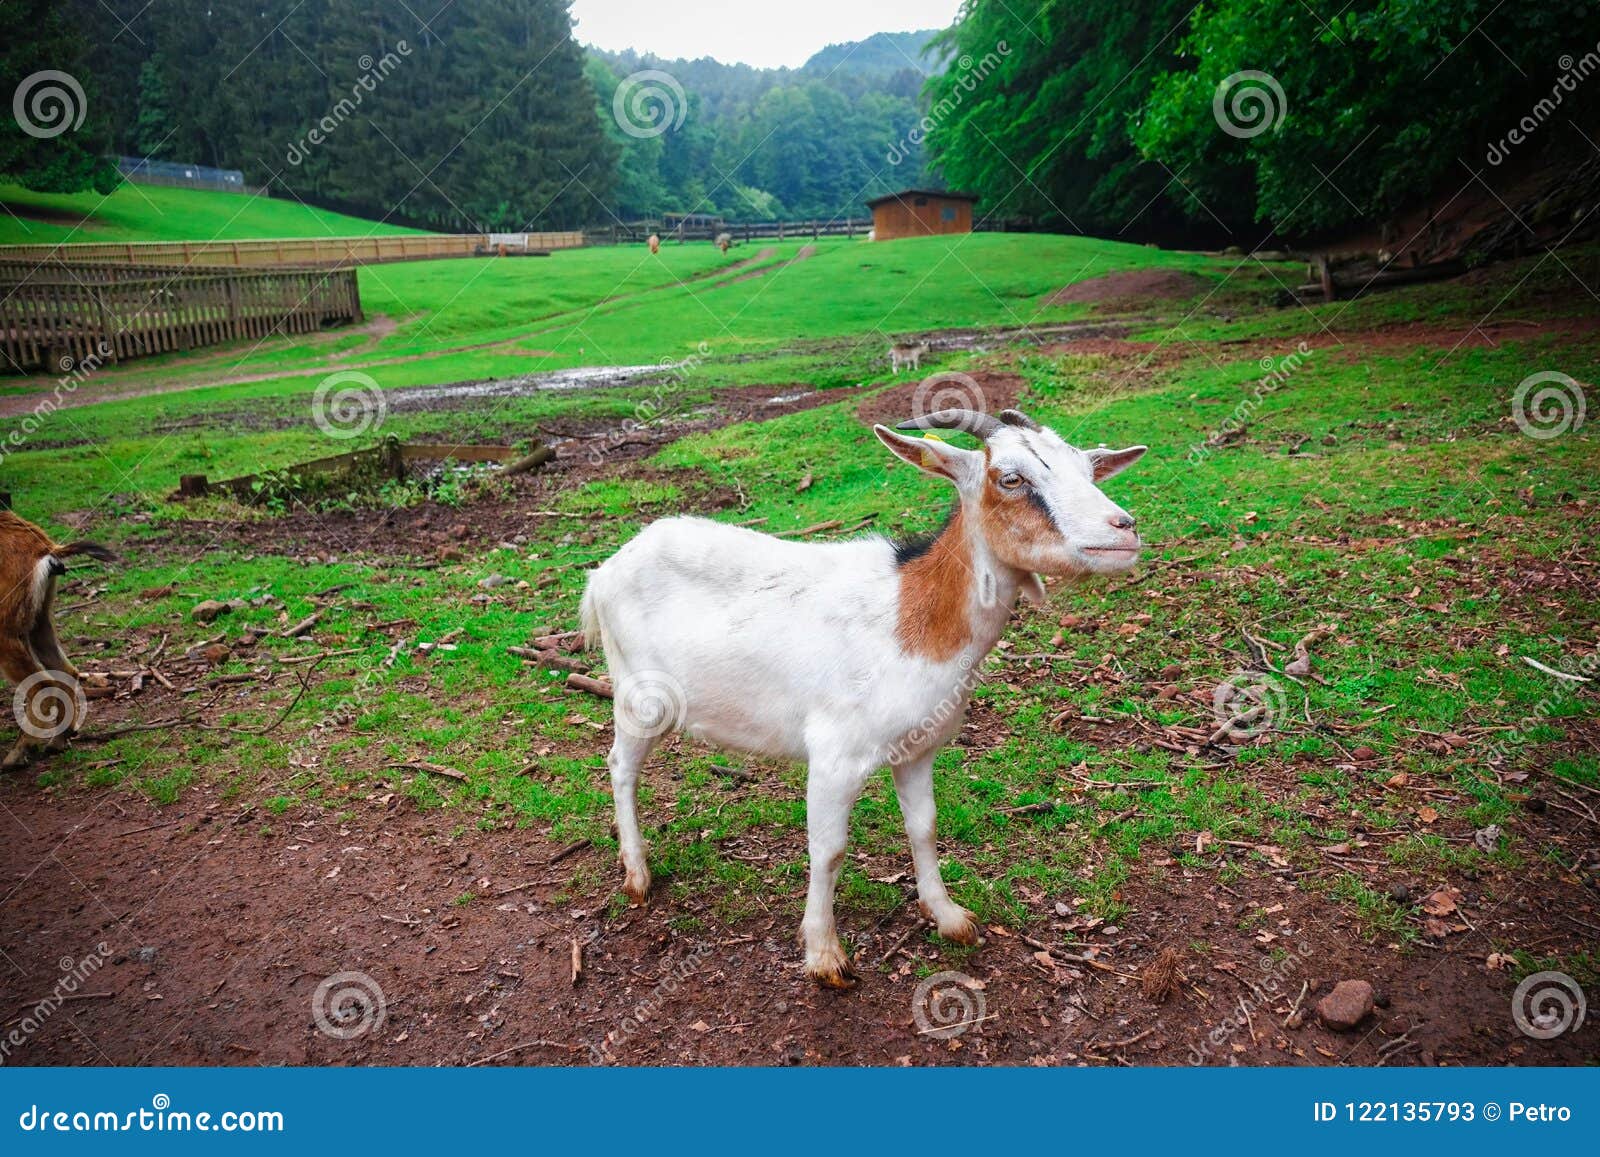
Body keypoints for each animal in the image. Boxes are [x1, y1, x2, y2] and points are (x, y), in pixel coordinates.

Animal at [0, 512, 116, 769]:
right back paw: (58, 741)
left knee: (41, 684)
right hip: (39, 620)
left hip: (7, 632)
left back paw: (17, 754)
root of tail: (44, 548)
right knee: (65, 671)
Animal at [580, 408, 1147, 985]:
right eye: (1010, 477)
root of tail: (605, 571)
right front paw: (825, 954)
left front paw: (949, 917)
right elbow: (829, 851)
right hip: (640, 698)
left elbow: (924, 826)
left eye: (1089, 470)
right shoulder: (834, 756)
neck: (913, 618)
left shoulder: (919, 749)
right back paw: (637, 875)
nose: (1124, 529)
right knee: (621, 767)